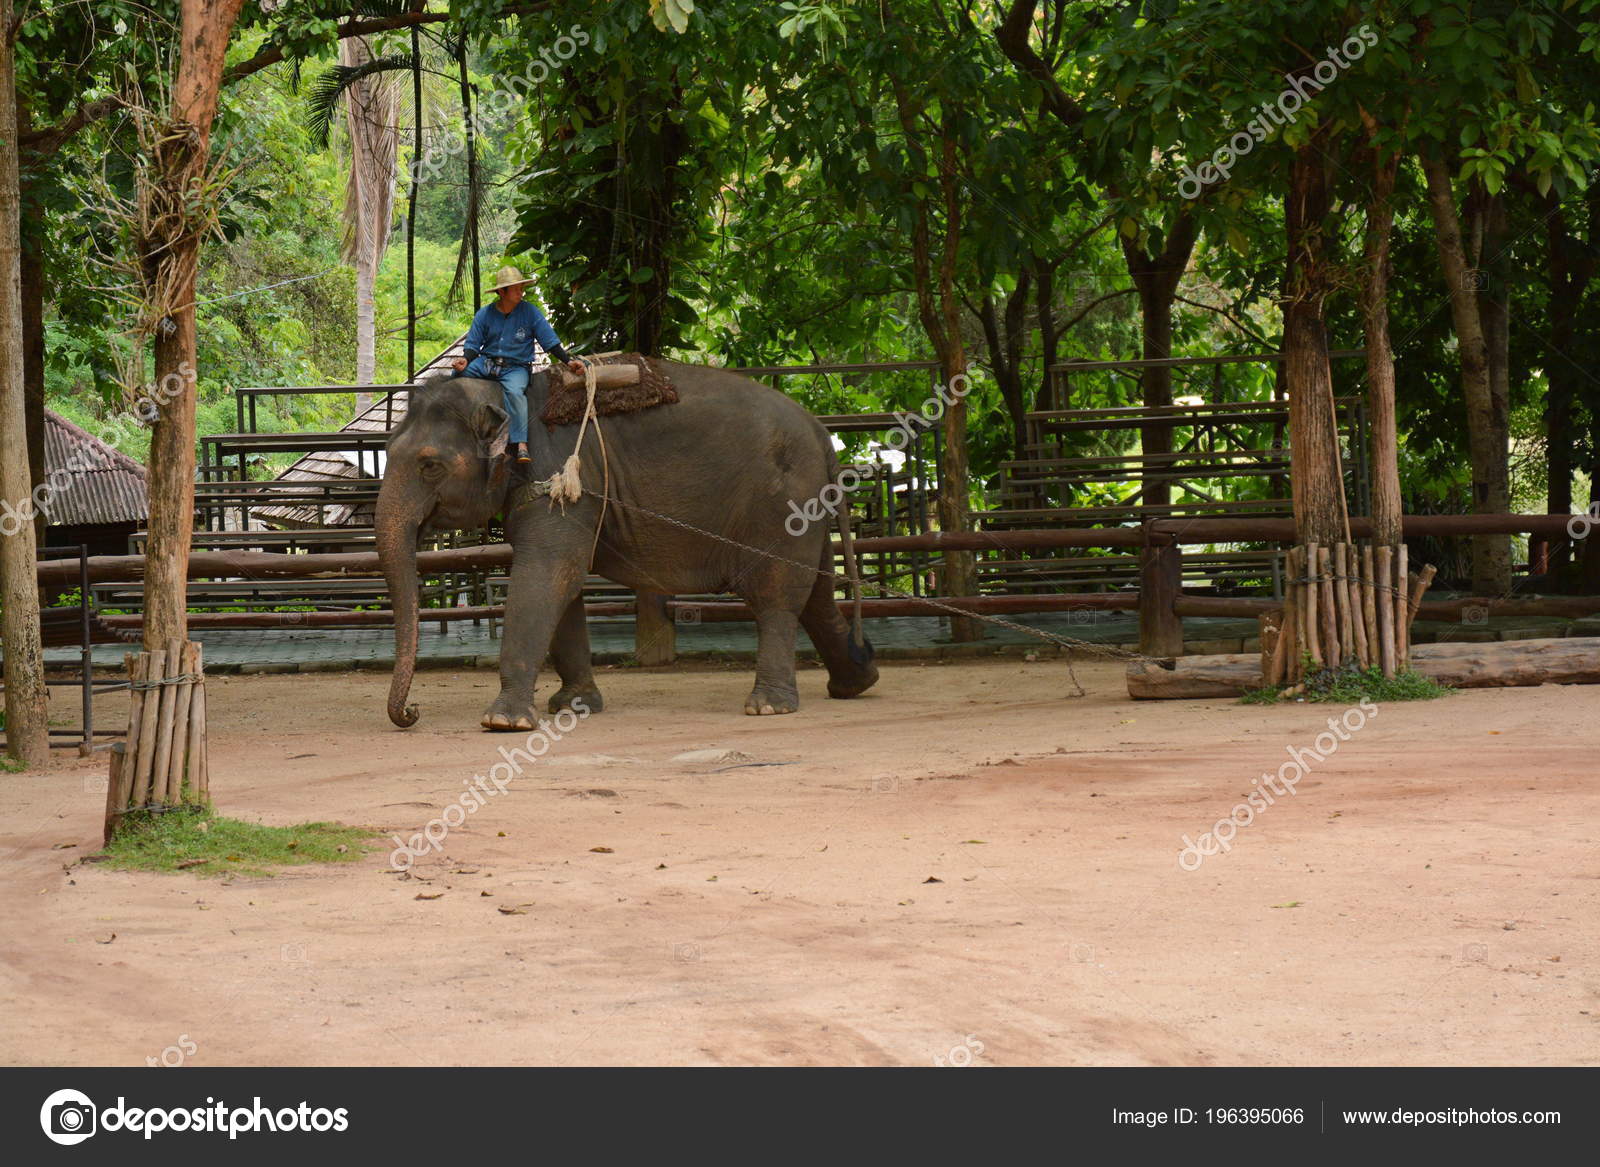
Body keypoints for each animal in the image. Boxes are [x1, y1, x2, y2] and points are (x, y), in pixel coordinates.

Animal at [375, 360, 880, 729]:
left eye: (429, 465)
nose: (413, 712)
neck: (505, 395)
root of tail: (822, 433)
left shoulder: (563, 477)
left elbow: (548, 575)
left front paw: (505, 723)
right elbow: (564, 584)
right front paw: (572, 706)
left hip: (782, 504)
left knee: (777, 595)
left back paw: (768, 707)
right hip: (807, 507)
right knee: (816, 592)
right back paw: (857, 681)